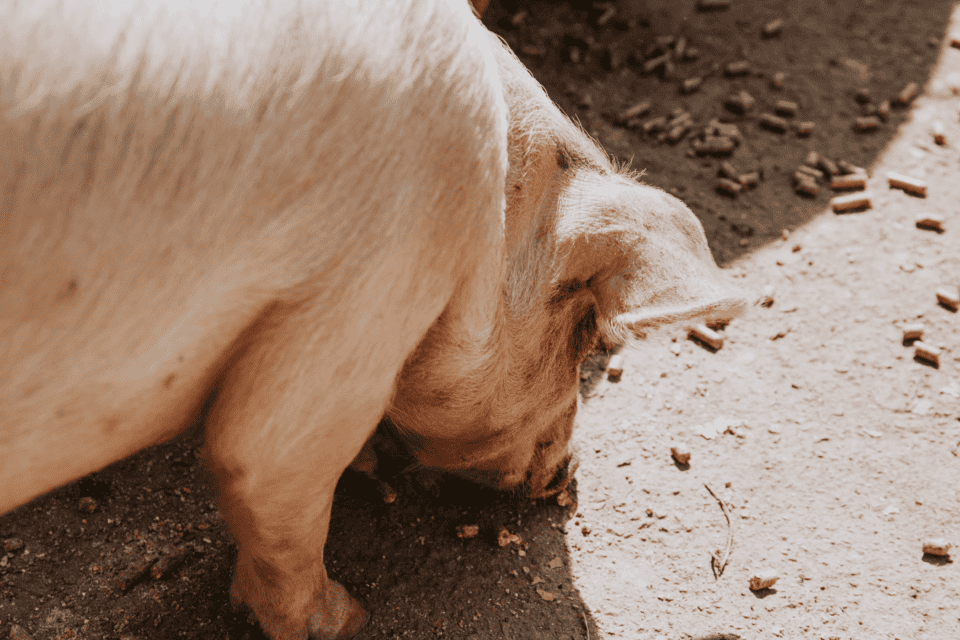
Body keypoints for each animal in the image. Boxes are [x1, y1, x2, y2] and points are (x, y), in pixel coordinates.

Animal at [0, 0, 748, 639]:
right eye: (584, 334)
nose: (567, 475)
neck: (488, 224)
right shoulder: (370, 289)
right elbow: (264, 467)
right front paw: (350, 618)